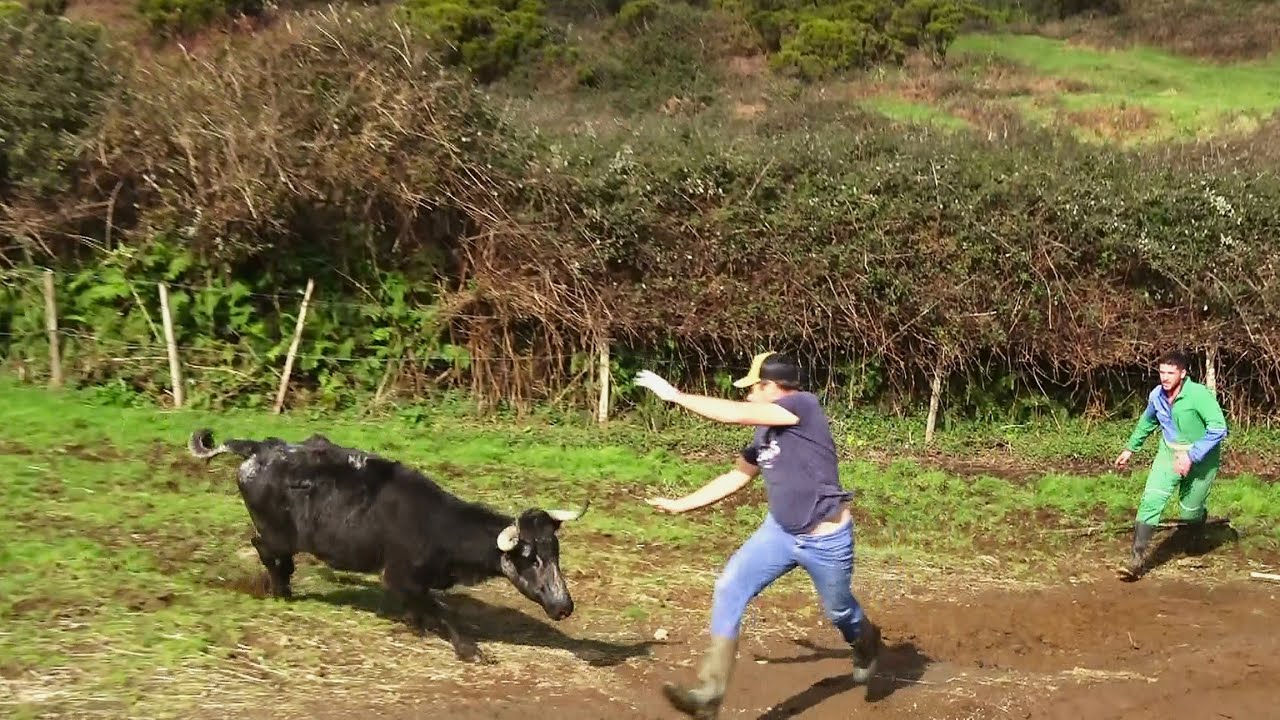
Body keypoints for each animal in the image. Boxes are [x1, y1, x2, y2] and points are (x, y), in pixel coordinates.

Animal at [187, 427, 589, 662]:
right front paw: (469, 650)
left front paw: (418, 626)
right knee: (270, 554)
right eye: (530, 558)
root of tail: (259, 448)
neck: (436, 525)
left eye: (555, 552)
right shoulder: (398, 576)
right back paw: (280, 591)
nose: (564, 606)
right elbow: (443, 611)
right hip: (274, 534)